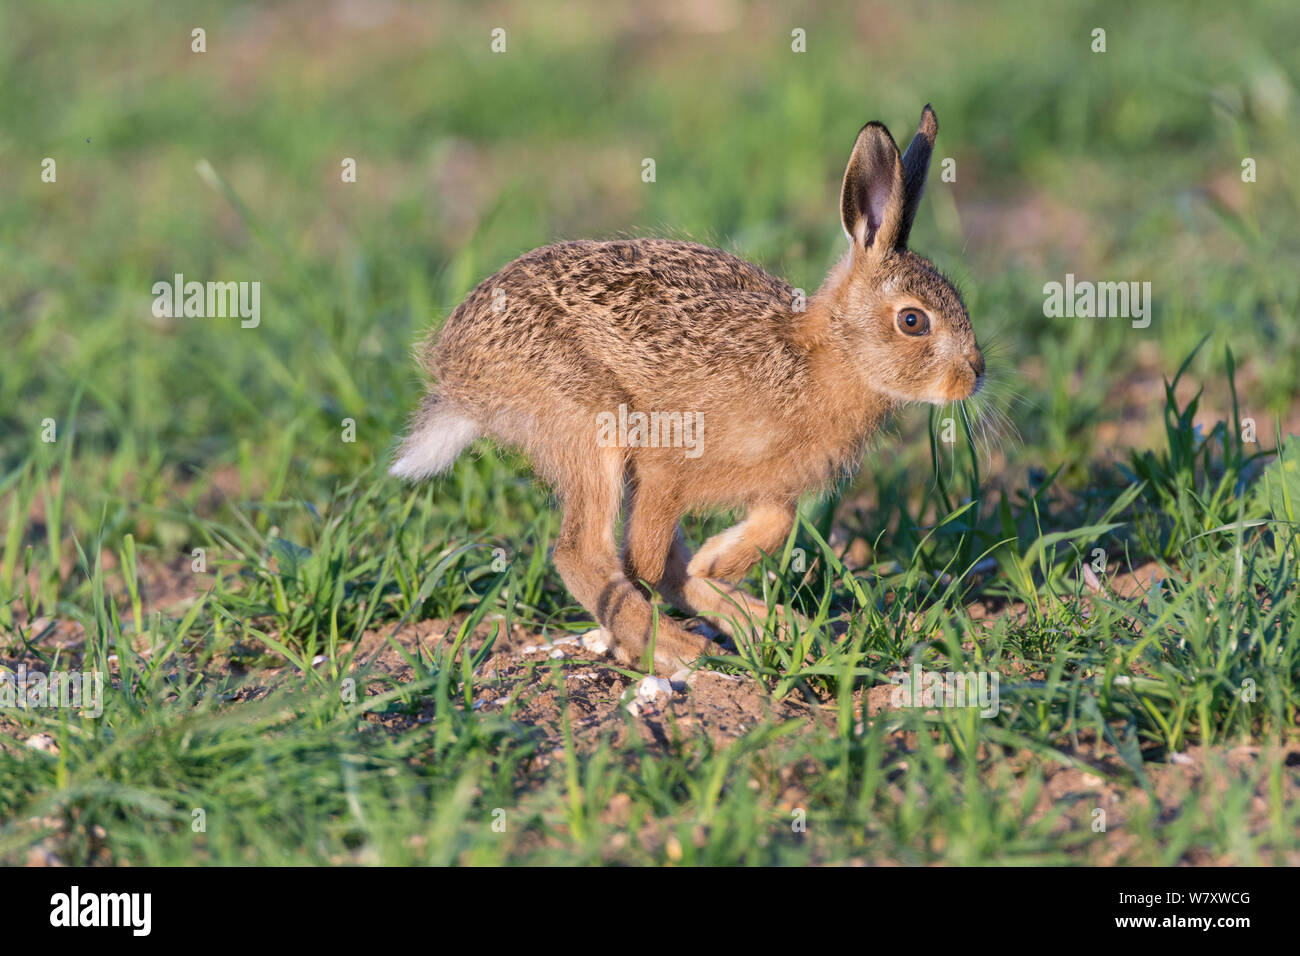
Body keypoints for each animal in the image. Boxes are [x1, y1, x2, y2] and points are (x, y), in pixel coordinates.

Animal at [391, 105, 983, 676]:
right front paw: (707, 587)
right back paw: (681, 649)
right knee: (583, 554)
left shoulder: (769, 487)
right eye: (912, 321)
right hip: (590, 424)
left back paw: (769, 625)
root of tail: (455, 369)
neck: (826, 355)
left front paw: (717, 567)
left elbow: (768, 528)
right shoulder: (664, 468)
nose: (974, 375)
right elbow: (648, 562)